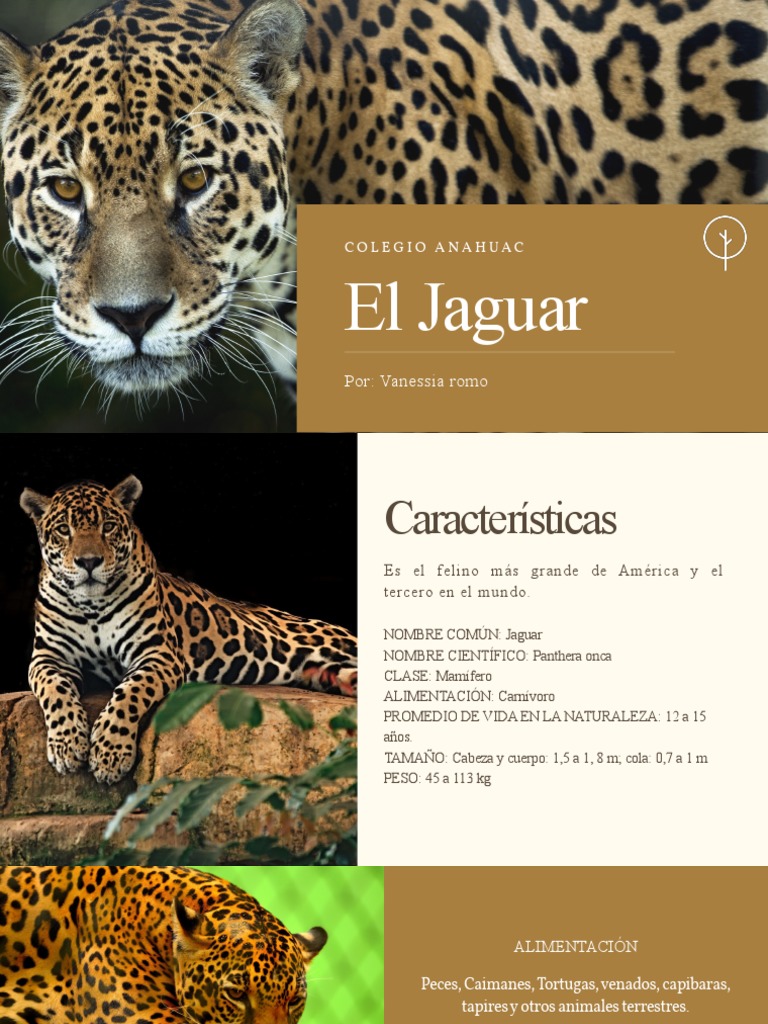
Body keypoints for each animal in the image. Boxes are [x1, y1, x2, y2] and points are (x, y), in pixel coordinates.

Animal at [20, 474, 358, 784]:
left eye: (109, 527)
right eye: (64, 530)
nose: (89, 562)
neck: (91, 605)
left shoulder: (158, 654)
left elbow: (130, 693)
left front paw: (109, 753)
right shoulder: (49, 657)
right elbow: (55, 690)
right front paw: (66, 746)